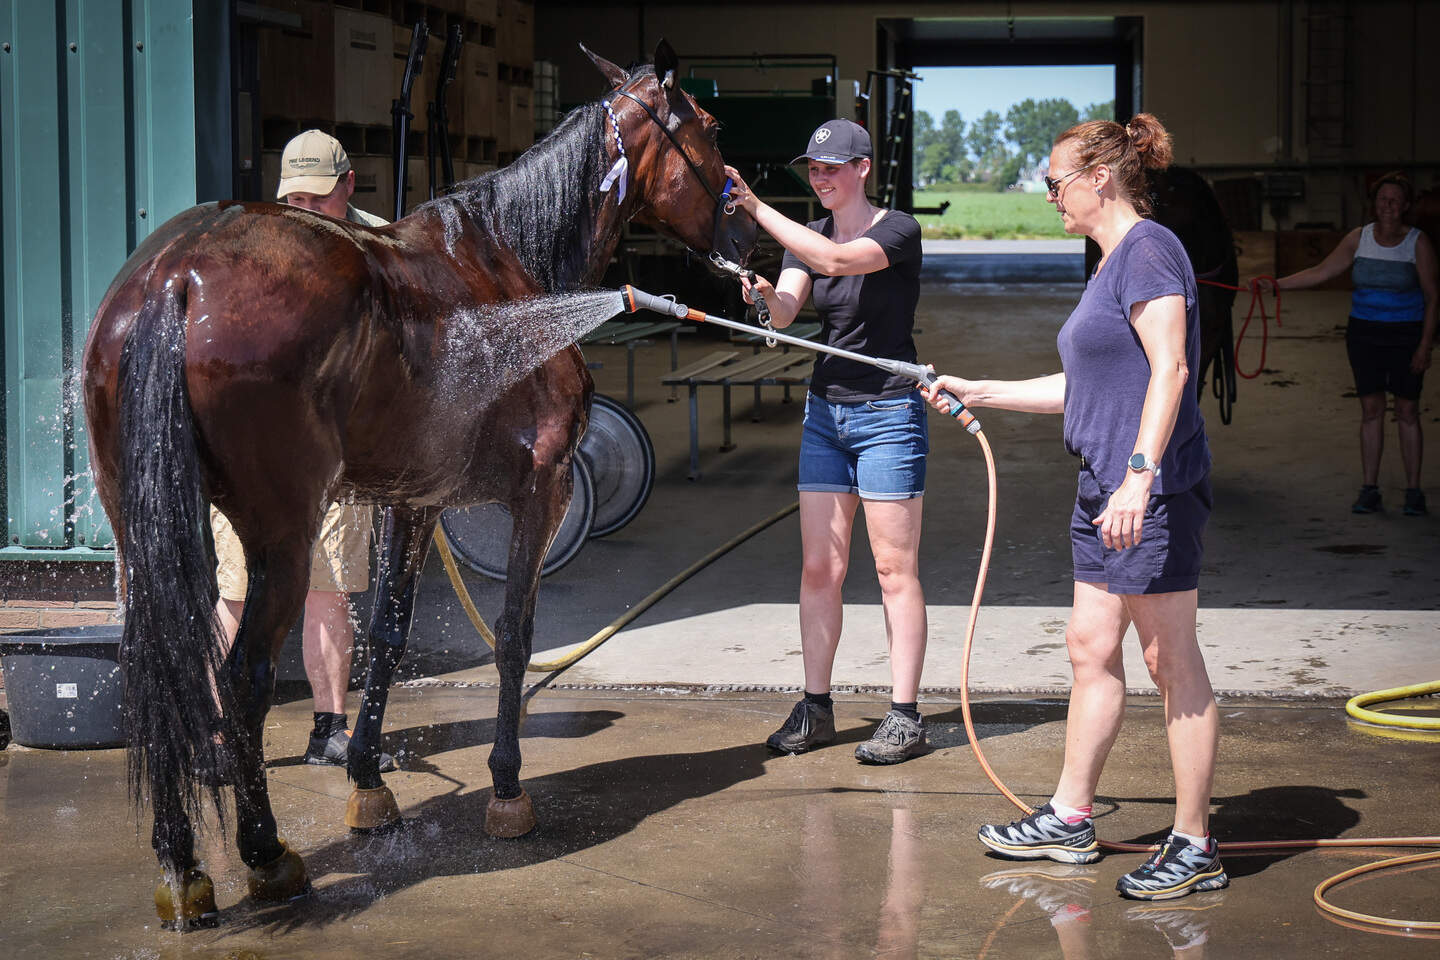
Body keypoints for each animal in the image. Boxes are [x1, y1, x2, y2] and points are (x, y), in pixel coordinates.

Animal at [80, 40, 756, 927]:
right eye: (709, 126)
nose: (750, 232)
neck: (508, 264)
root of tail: (175, 279)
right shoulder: (542, 489)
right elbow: (513, 635)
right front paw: (506, 789)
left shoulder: (414, 501)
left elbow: (389, 633)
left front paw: (368, 785)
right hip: (280, 536)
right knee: (241, 677)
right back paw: (265, 856)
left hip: (141, 530)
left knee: (162, 667)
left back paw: (182, 867)